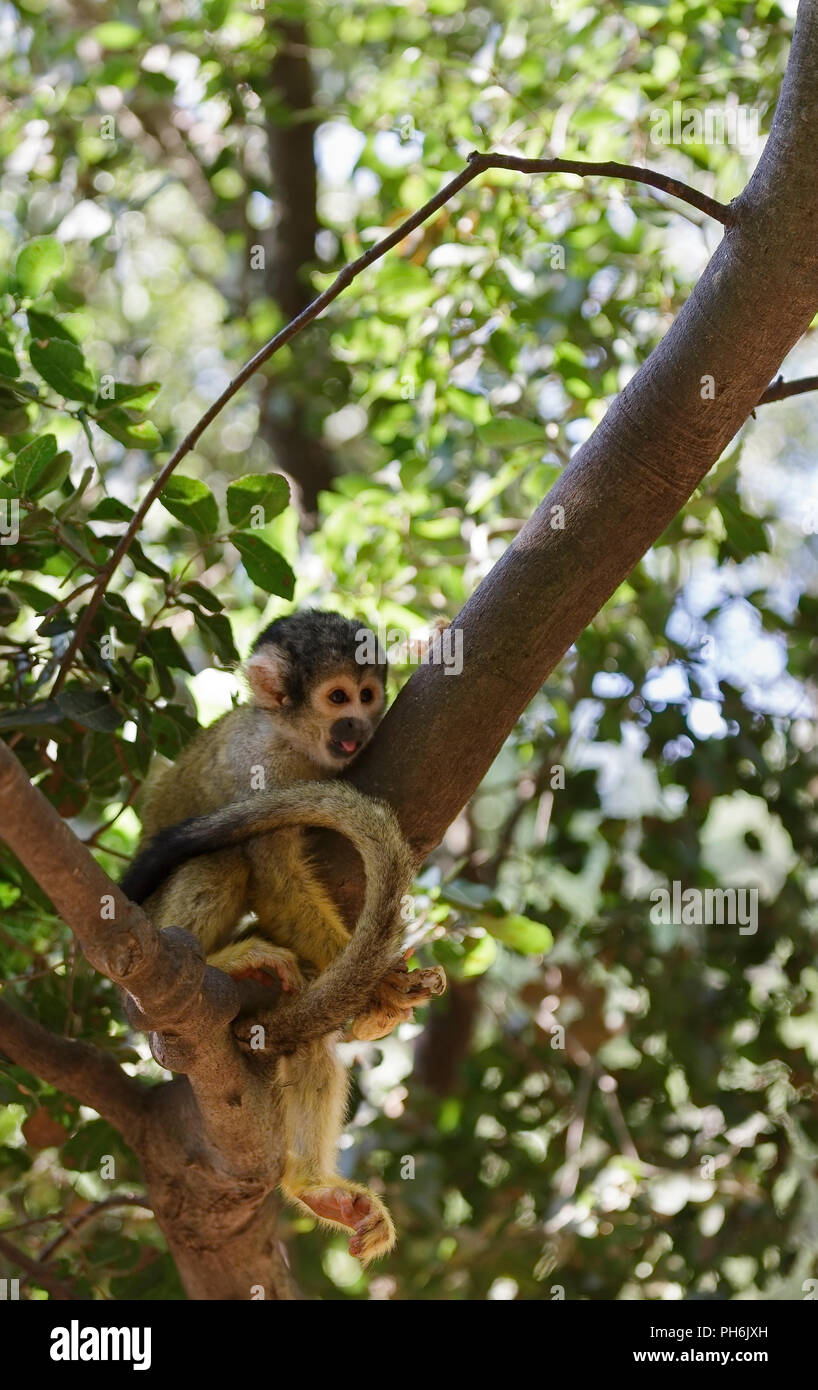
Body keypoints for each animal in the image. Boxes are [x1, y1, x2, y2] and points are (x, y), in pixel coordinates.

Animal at [121, 610, 445, 1262]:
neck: (295, 742)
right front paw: (384, 989)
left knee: (308, 1040)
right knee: (222, 860)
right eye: (337, 698)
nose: (356, 726)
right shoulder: (264, 772)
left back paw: (314, 1186)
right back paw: (223, 962)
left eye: (367, 696)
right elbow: (275, 882)